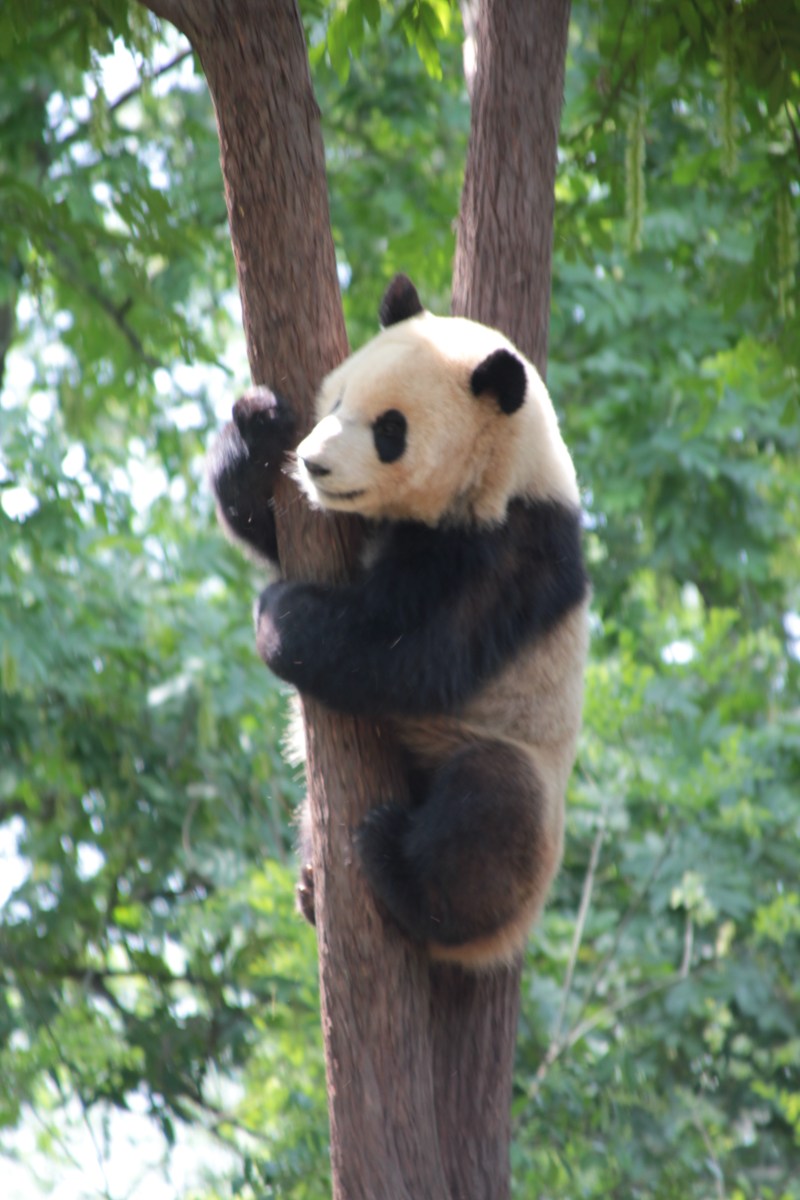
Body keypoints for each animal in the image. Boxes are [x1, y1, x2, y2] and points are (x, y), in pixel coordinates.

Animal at [209, 274, 589, 969]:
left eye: (391, 429)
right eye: (335, 399)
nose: (315, 464)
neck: (509, 464)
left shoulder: (509, 552)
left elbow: (413, 655)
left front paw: (279, 617)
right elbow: (267, 526)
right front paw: (259, 424)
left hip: (516, 772)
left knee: (492, 808)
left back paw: (398, 866)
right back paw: (311, 884)